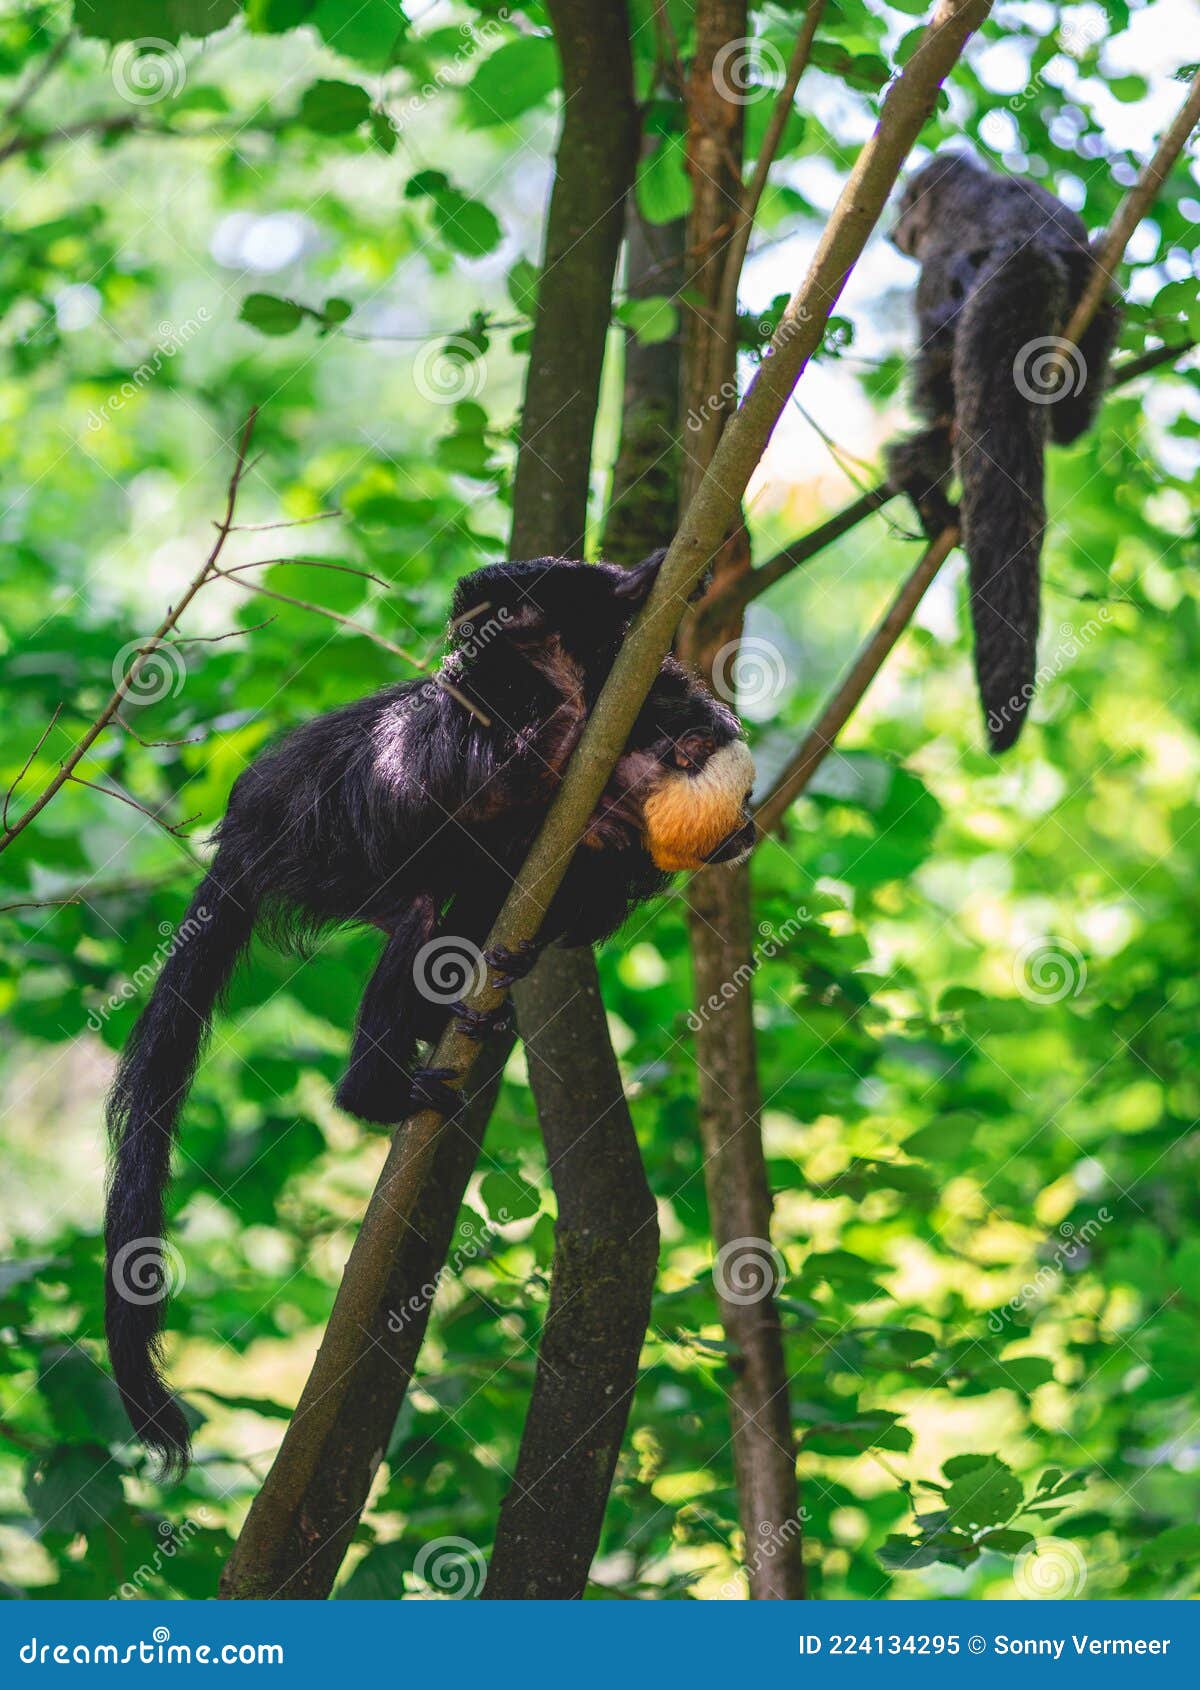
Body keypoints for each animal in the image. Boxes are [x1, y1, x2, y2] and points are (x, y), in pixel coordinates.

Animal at [104, 552, 756, 1470]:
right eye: (741, 807)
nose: (751, 830)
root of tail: (249, 823)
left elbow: (524, 890)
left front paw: (508, 960)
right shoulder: (611, 686)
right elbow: (504, 602)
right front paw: (642, 581)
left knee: (438, 911)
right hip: (328, 833)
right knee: (415, 896)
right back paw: (374, 1091)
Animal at [885, 151, 1121, 750]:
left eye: (902, 209)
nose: (894, 231)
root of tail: (1026, 254)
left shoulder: (937, 251)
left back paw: (921, 486)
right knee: (1069, 421)